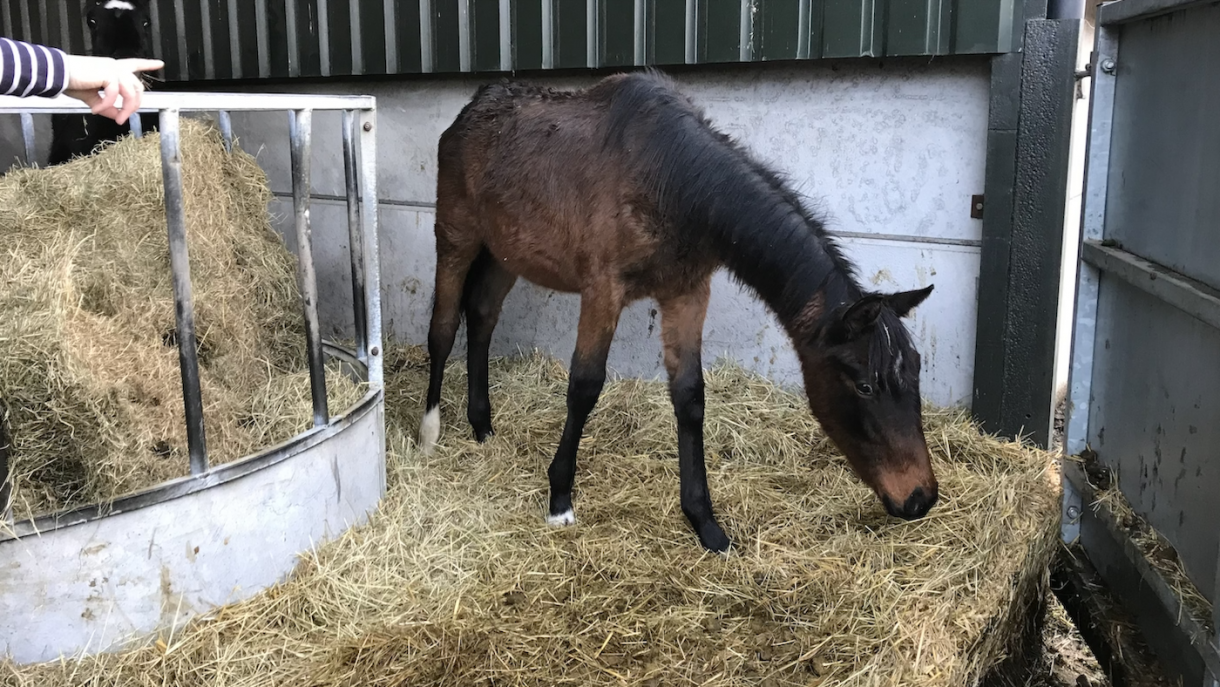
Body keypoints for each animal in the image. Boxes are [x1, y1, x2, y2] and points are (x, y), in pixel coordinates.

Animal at [420, 70, 937, 552]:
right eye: (864, 385)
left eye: (915, 372)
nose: (920, 498)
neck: (671, 178)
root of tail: (471, 111)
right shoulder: (603, 291)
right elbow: (584, 386)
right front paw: (560, 498)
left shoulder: (686, 295)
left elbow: (690, 398)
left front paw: (704, 522)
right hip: (457, 237)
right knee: (443, 328)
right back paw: (429, 431)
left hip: (506, 253)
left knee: (482, 316)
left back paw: (482, 425)